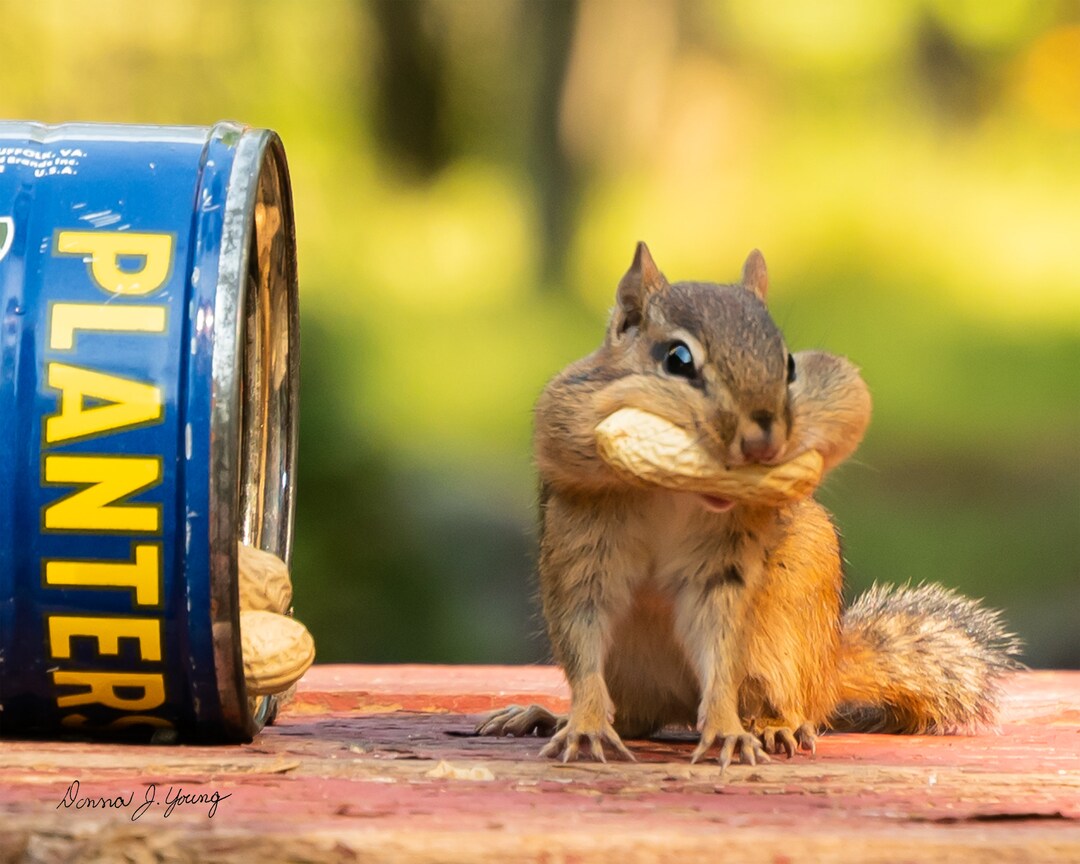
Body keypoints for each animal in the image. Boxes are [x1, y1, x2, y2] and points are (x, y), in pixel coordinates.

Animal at [478, 242, 1021, 767]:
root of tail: (830, 666)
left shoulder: (722, 571)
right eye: (677, 359)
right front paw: (585, 723)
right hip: (634, 671)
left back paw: (777, 725)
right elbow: (584, 646)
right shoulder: (583, 554)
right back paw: (546, 716)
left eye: (789, 364)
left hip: (785, 645)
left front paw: (725, 730)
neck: (673, 495)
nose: (763, 441)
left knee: (788, 702)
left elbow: (721, 653)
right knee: (633, 718)